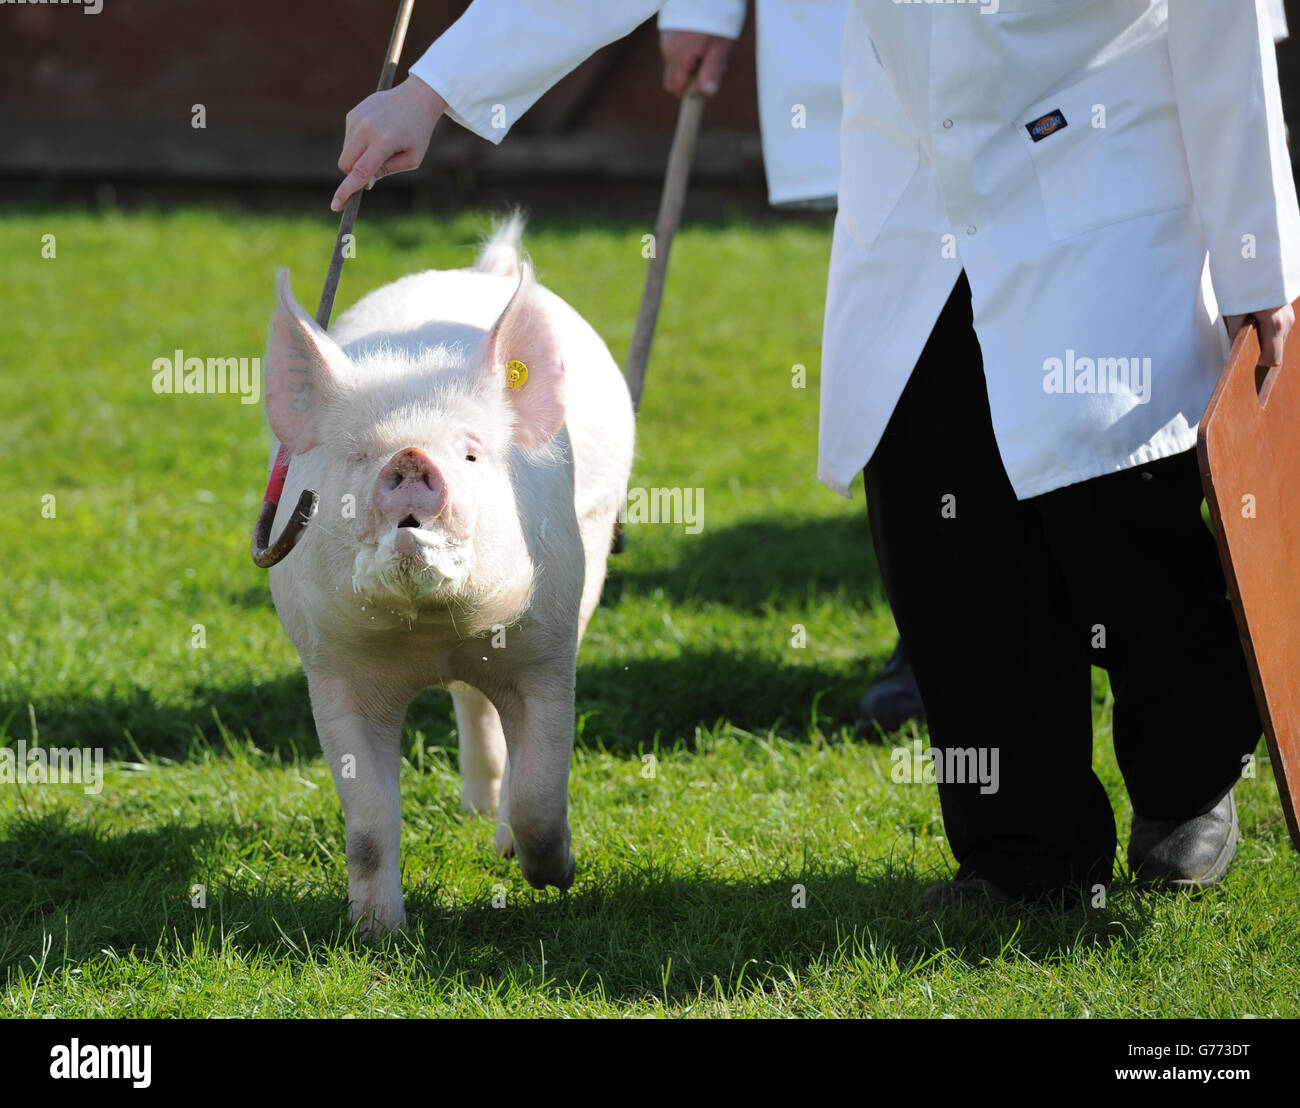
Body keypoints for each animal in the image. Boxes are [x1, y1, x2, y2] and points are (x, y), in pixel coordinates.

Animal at [261, 216, 634, 933]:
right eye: (357, 455)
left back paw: (499, 835)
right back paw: (475, 811)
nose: (409, 456)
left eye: (470, 452)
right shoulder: (335, 670)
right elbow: (368, 825)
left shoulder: (545, 653)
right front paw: (375, 936)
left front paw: (554, 877)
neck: (432, 635)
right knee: (470, 703)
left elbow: (542, 790)